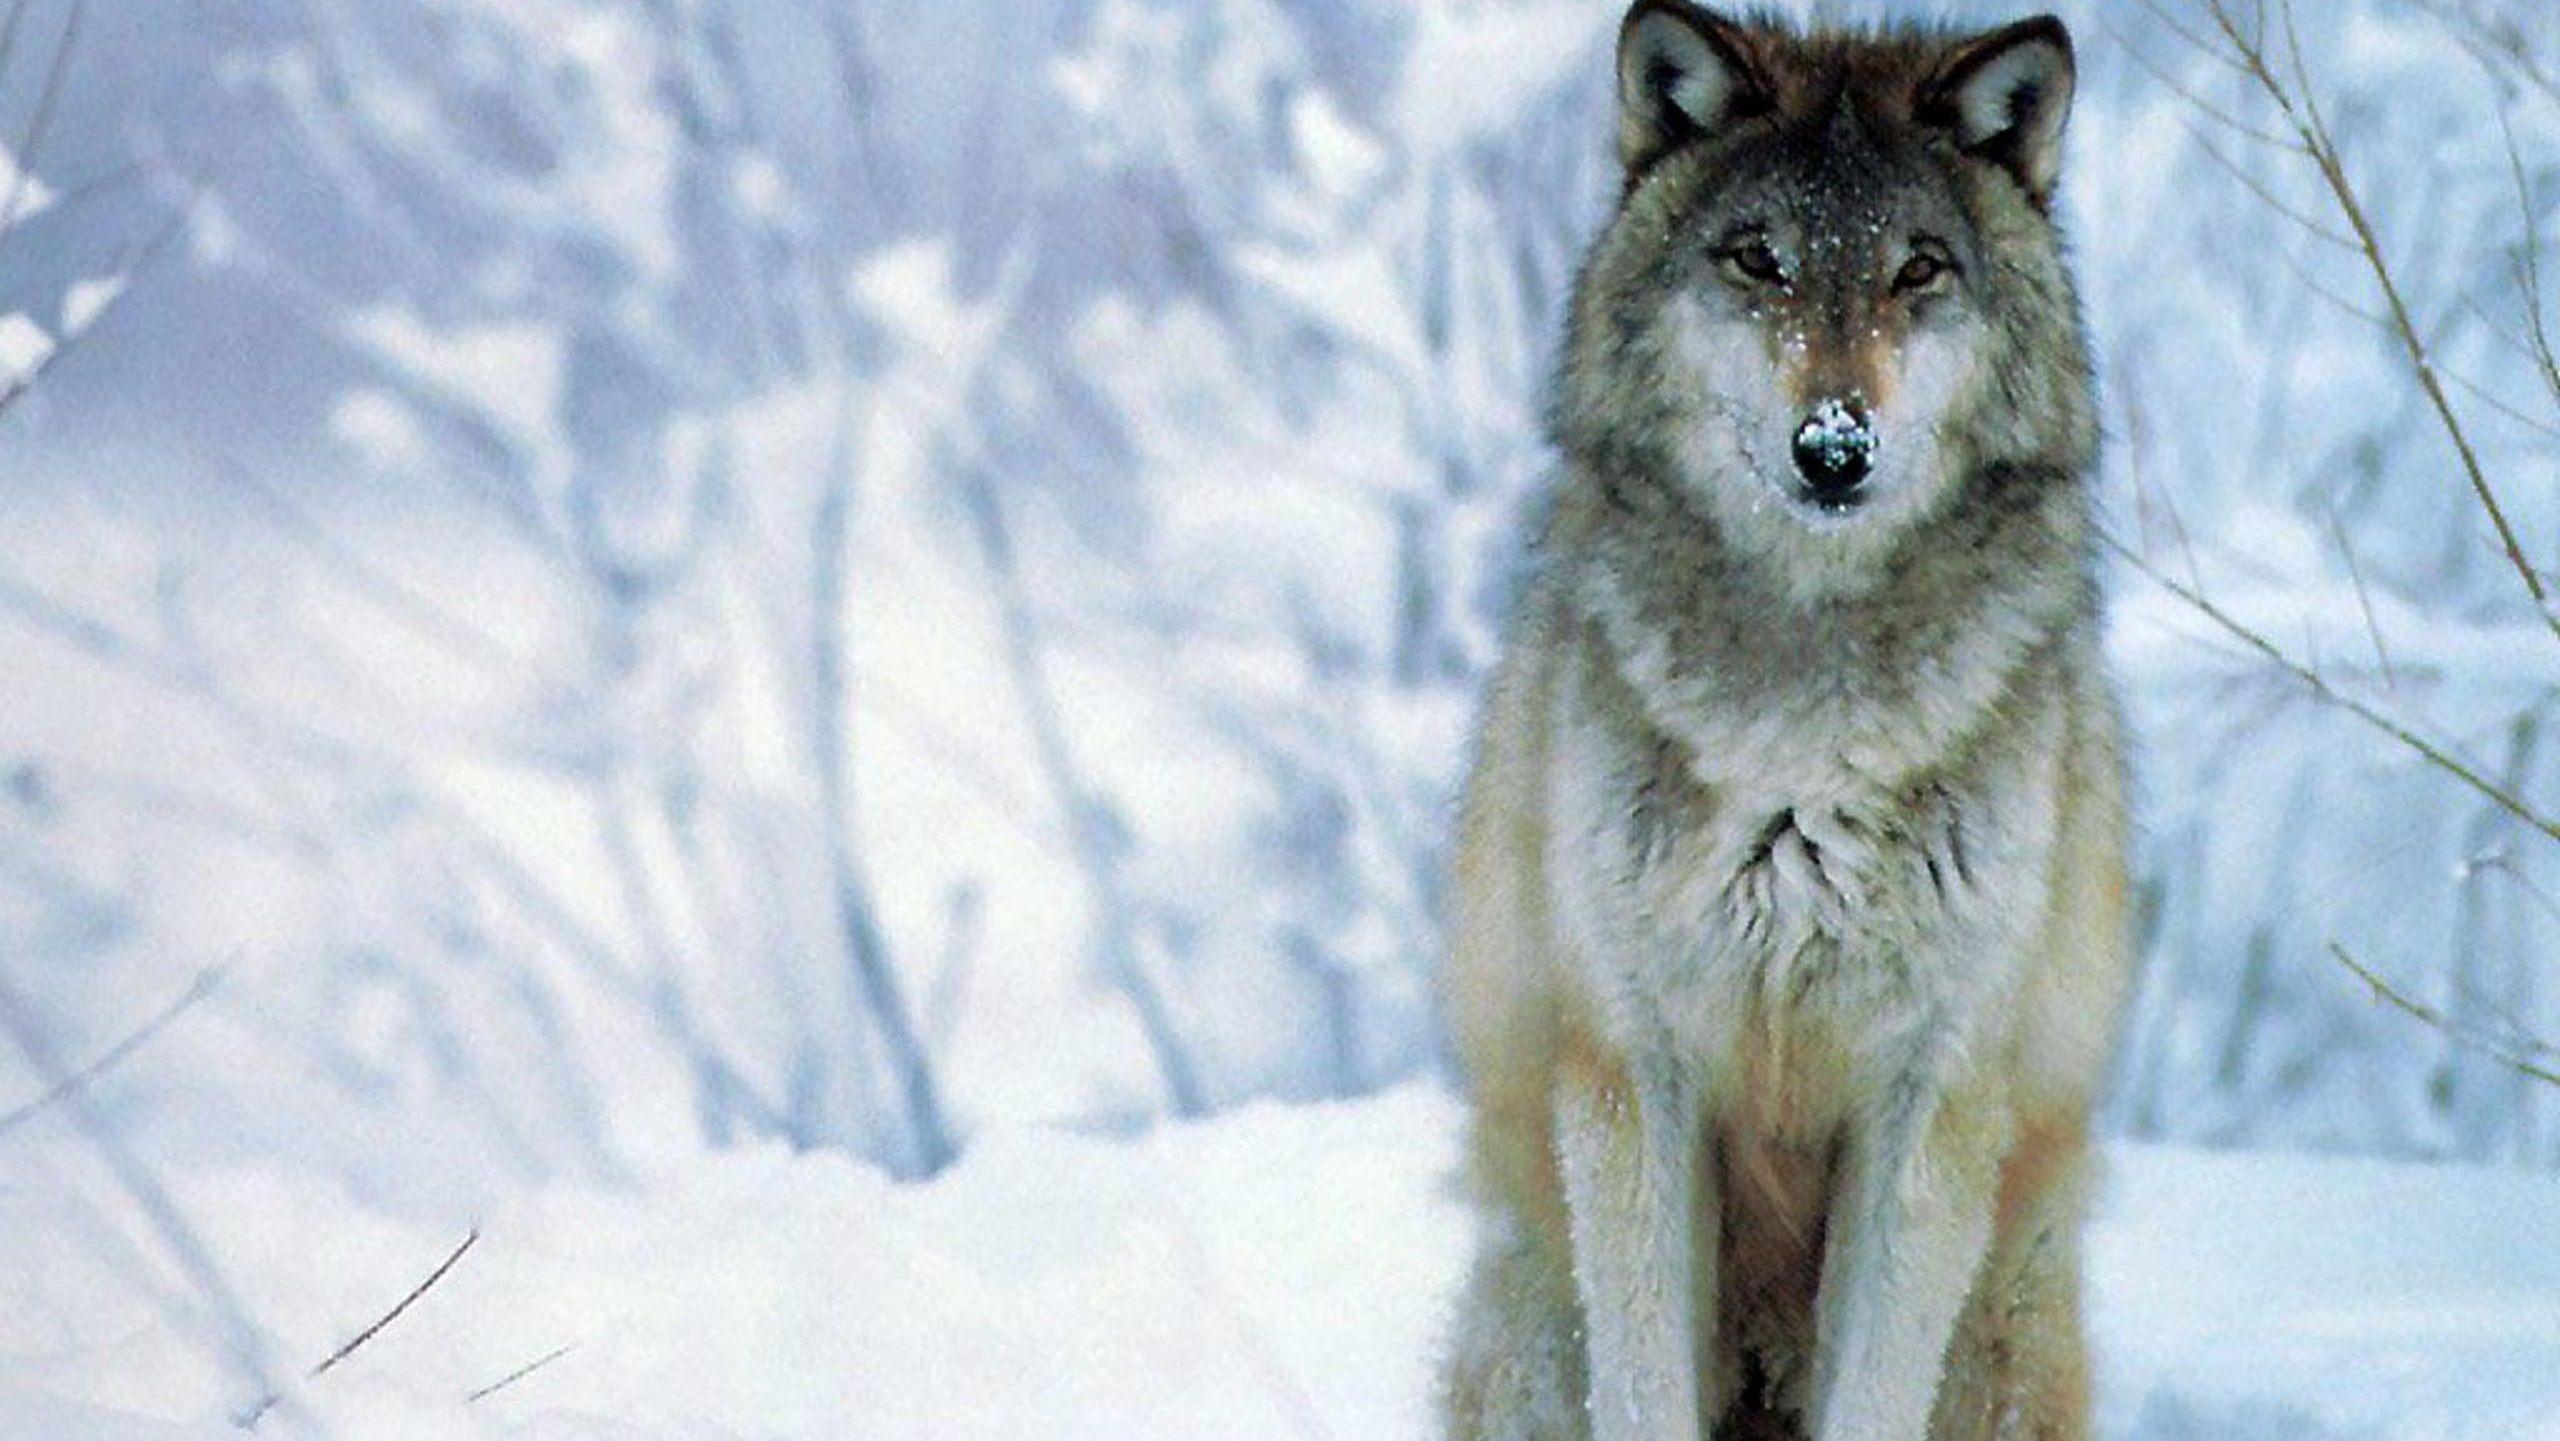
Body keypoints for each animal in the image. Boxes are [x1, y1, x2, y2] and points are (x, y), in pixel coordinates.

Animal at [1435, 6, 2131, 1441]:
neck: (1804, 741)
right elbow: (1645, 1385)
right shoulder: (1631, 1072)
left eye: (1917, 269)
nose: (1834, 447)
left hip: (2008, 1331)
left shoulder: (1929, 1098)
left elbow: (1875, 1388)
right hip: (1529, 1310)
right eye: (1759, 260)